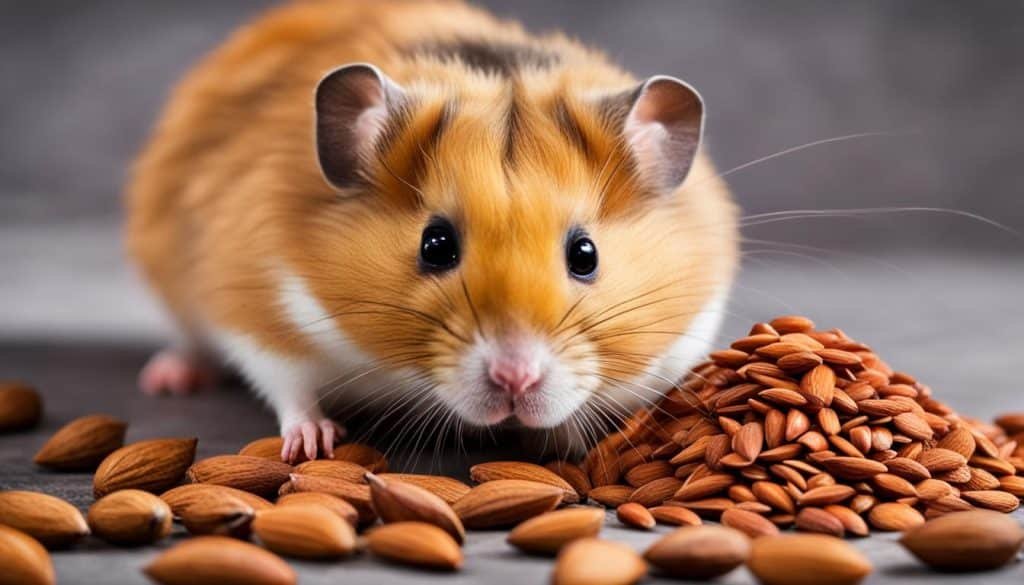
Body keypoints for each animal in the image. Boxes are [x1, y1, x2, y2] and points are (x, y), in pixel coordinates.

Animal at [126, 0, 739, 462]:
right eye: (436, 245)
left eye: (585, 254)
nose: (515, 380)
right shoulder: (258, 303)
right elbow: (288, 385)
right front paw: (315, 445)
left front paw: (564, 441)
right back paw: (168, 378)